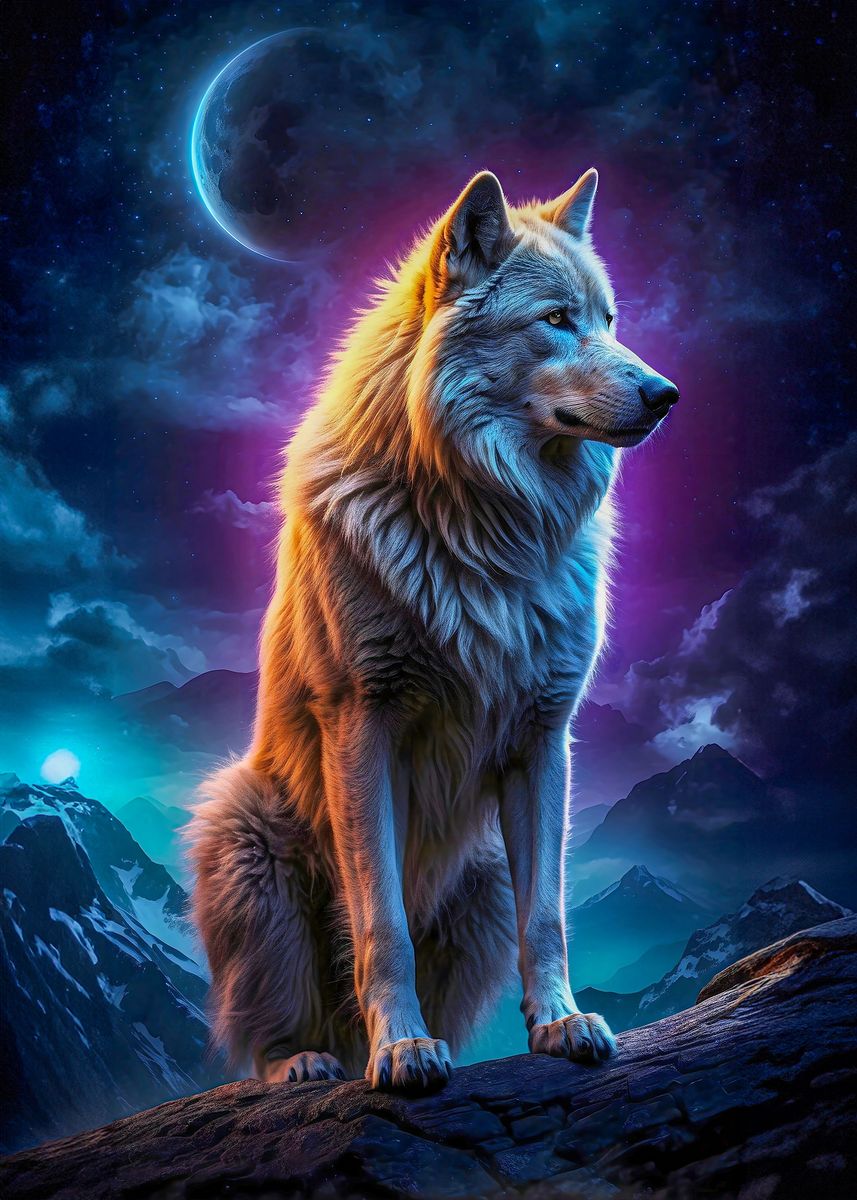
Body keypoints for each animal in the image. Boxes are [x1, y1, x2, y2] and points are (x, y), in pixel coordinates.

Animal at [188, 168, 678, 1092]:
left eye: (607, 320)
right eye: (554, 319)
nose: (666, 394)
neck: (485, 529)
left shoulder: (541, 739)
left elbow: (548, 918)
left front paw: (560, 1024)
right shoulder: (361, 724)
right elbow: (381, 924)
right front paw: (401, 1049)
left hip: (480, 877)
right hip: (243, 835)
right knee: (269, 1031)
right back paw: (310, 1061)